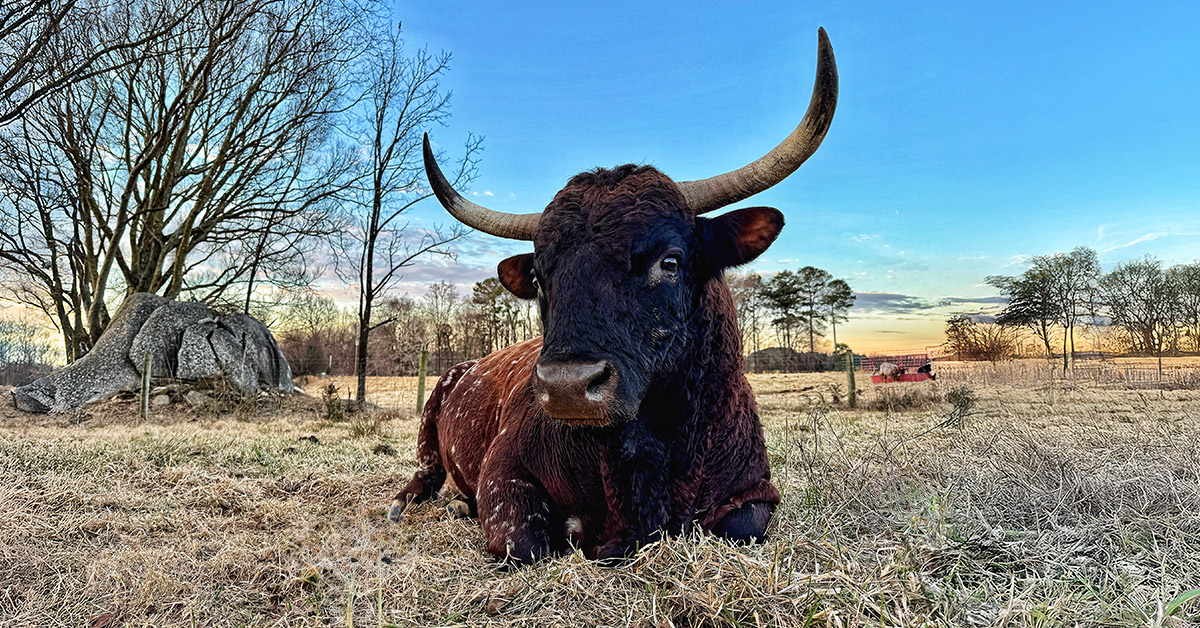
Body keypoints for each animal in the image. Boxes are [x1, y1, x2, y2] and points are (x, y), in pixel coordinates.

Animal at [389, 29, 838, 564]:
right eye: (540, 275)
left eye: (670, 261)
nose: (566, 386)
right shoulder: (504, 477)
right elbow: (526, 542)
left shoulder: (755, 494)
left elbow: (742, 526)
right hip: (428, 432)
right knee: (424, 476)